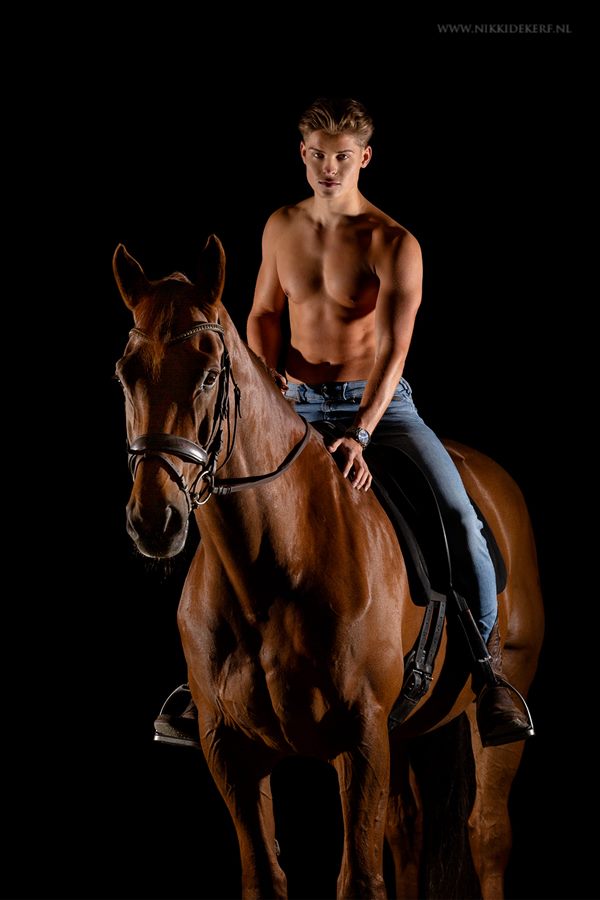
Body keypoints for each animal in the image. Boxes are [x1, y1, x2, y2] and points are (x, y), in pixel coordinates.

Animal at [113, 234, 544, 899]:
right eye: (125, 373)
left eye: (210, 374)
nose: (154, 520)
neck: (268, 573)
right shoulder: (231, 753)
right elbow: (266, 875)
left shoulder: (361, 742)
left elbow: (359, 879)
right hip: (402, 732)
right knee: (408, 833)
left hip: (493, 707)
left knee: (488, 835)